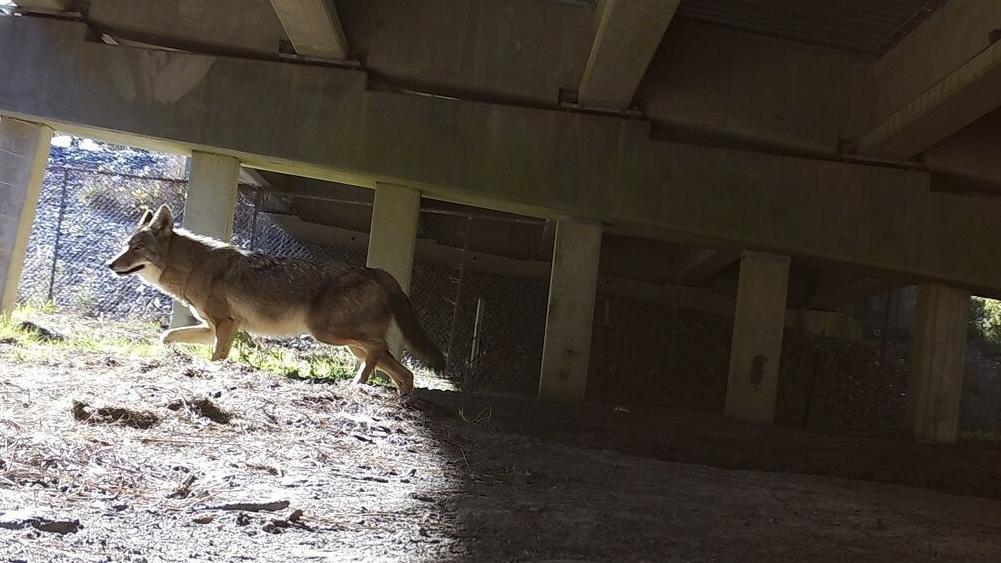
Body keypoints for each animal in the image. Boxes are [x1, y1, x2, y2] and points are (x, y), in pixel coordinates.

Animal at [106, 204, 444, 395]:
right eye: (125, 245)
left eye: (137, 247)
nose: (110, 264)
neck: (193, 266)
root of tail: (376, 270)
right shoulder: (213, 328)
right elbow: (167, 336)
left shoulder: (226, 326)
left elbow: (216, 358)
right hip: (350, 345)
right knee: (406, 373)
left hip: (328, 335)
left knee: (379, 351)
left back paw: (358, 383)